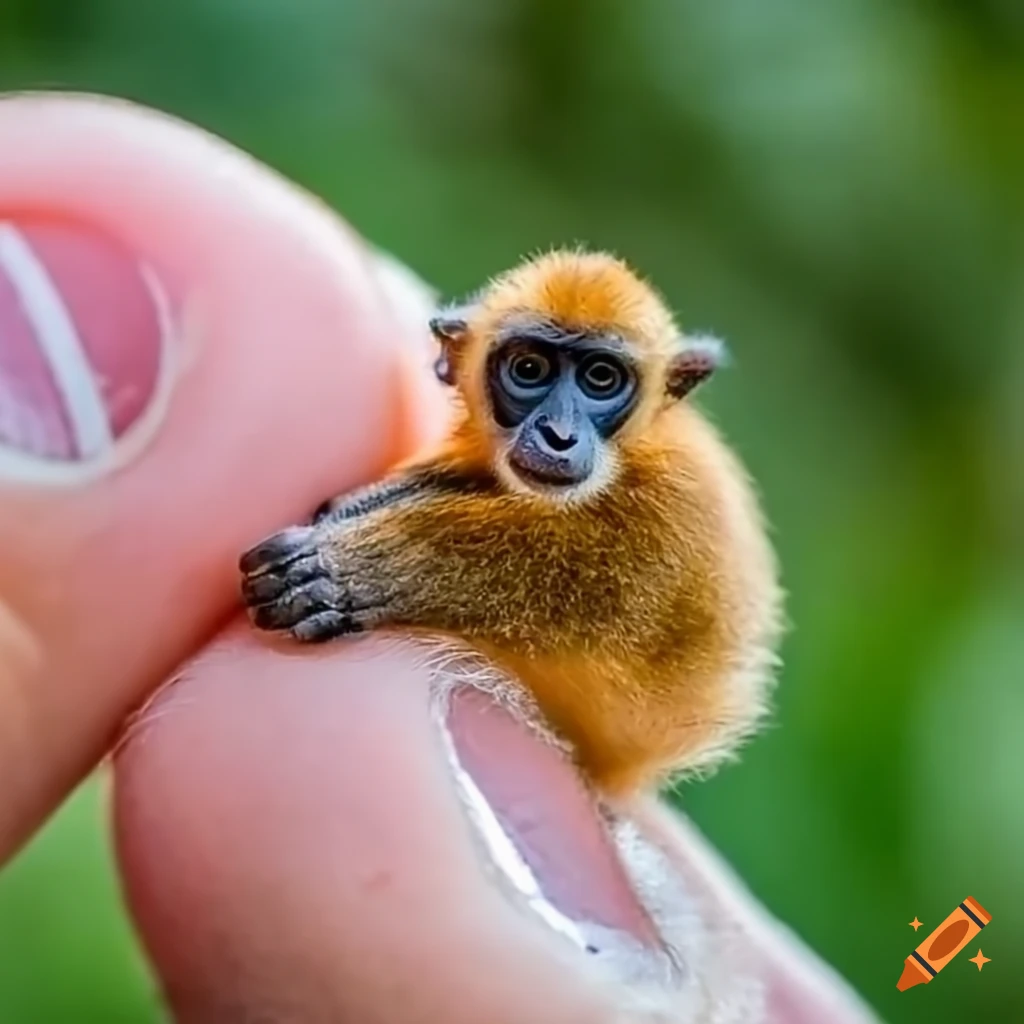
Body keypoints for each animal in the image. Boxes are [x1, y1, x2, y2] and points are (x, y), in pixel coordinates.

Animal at [239, 249, 783, 797]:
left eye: (601, 379)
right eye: (528, 368)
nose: (558, 434)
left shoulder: (681, 493)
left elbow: (619, 586)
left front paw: (352, 569)